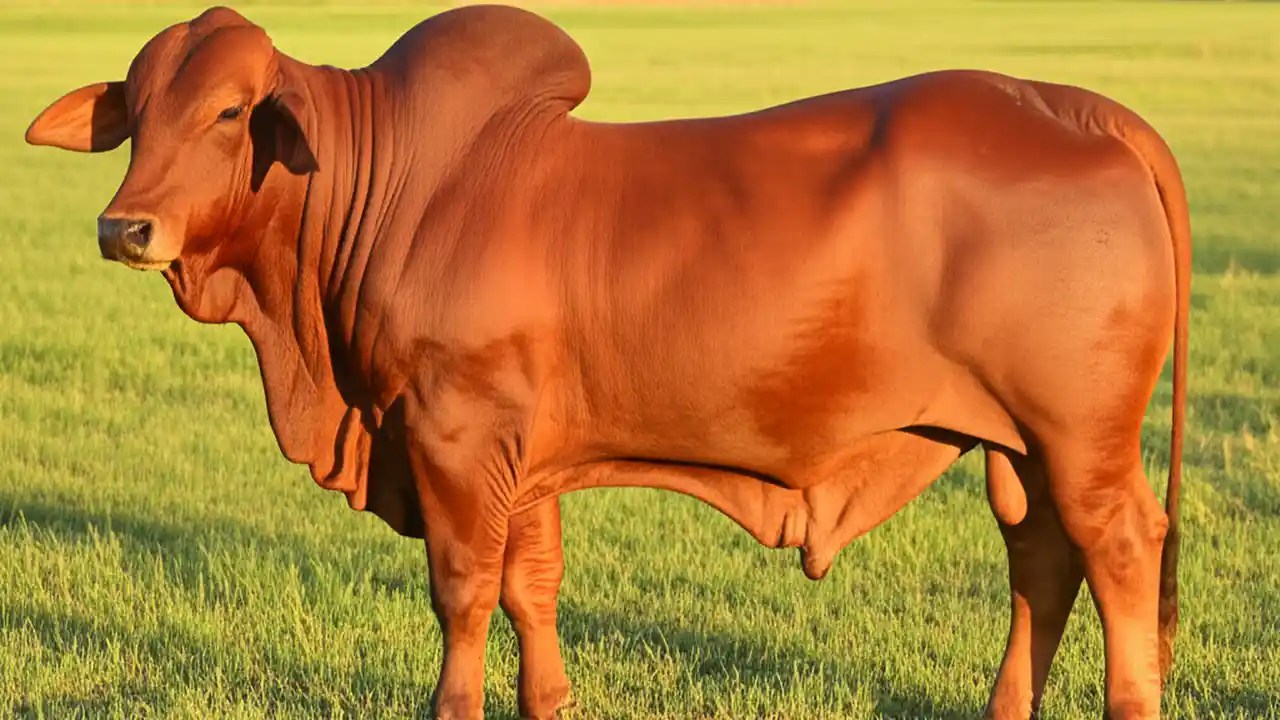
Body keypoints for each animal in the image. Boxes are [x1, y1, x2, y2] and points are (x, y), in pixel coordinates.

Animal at [25, 5, 1189, 719]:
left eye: (229, 112)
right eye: (137, 110)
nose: (125, 228)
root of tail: (1079, 107)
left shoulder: (450, 431)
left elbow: (462, 591)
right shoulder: (524, 455)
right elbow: (530, 585)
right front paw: (548, 700)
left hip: (1079, 440)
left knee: (1120, 550)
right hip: (1015, 447)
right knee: (1041, 563)